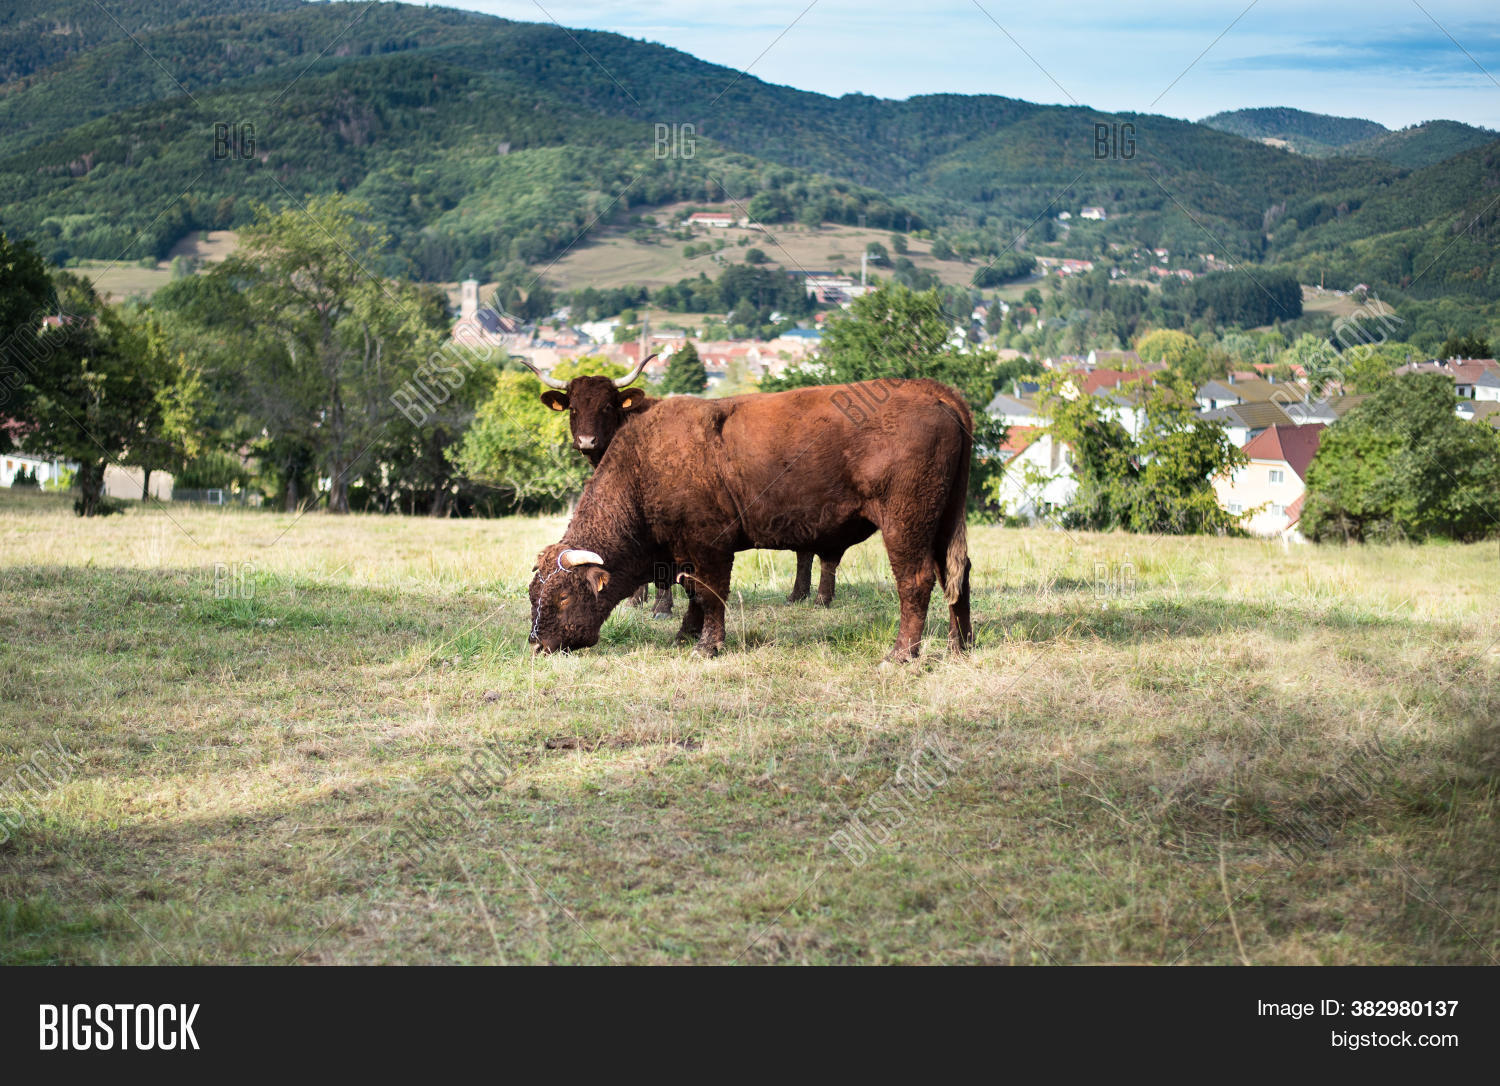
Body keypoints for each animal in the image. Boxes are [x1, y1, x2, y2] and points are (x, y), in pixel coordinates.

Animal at [518, 355, 840, 611]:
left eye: (607, 406)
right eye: (573, 408)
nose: (586, 441)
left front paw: (659, 604)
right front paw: (639, 600)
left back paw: (810, 597)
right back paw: (800, 595)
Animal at [528, 378, 973, 663]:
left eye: (563, 596)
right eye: (533, 594)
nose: (538, 645)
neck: (643, 463)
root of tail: (934, 392)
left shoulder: (709, 545)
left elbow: (710, 594)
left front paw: (706, 646)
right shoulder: (683, 551)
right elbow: (693, 593)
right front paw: (685, 636)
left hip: (905, 524)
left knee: (915, 579)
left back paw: (900, 654)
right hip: (943, 521)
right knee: (957, 573)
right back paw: (960, 646)